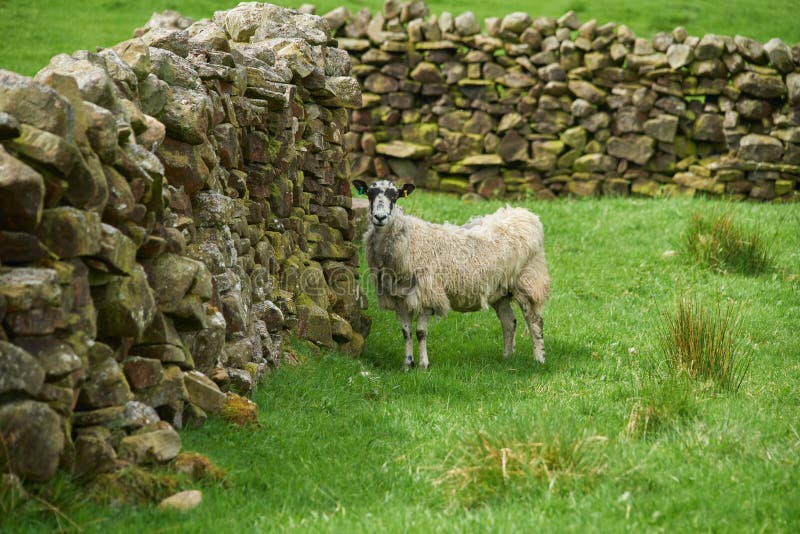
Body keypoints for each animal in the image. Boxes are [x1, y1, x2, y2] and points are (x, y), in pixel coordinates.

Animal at [352, 178, 550, 369]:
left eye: (395, 196)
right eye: (369, 194)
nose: (379, 217)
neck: (409, 240)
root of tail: (526, 215)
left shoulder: (428, 294)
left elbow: (421, 332)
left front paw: (424, 365)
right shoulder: (399, 297)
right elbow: (406, 332)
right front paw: (407, 365)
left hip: (527, 281)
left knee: (535, 321)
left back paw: (539, 359)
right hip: (500, 290)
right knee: (509, 322)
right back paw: (507, 358)